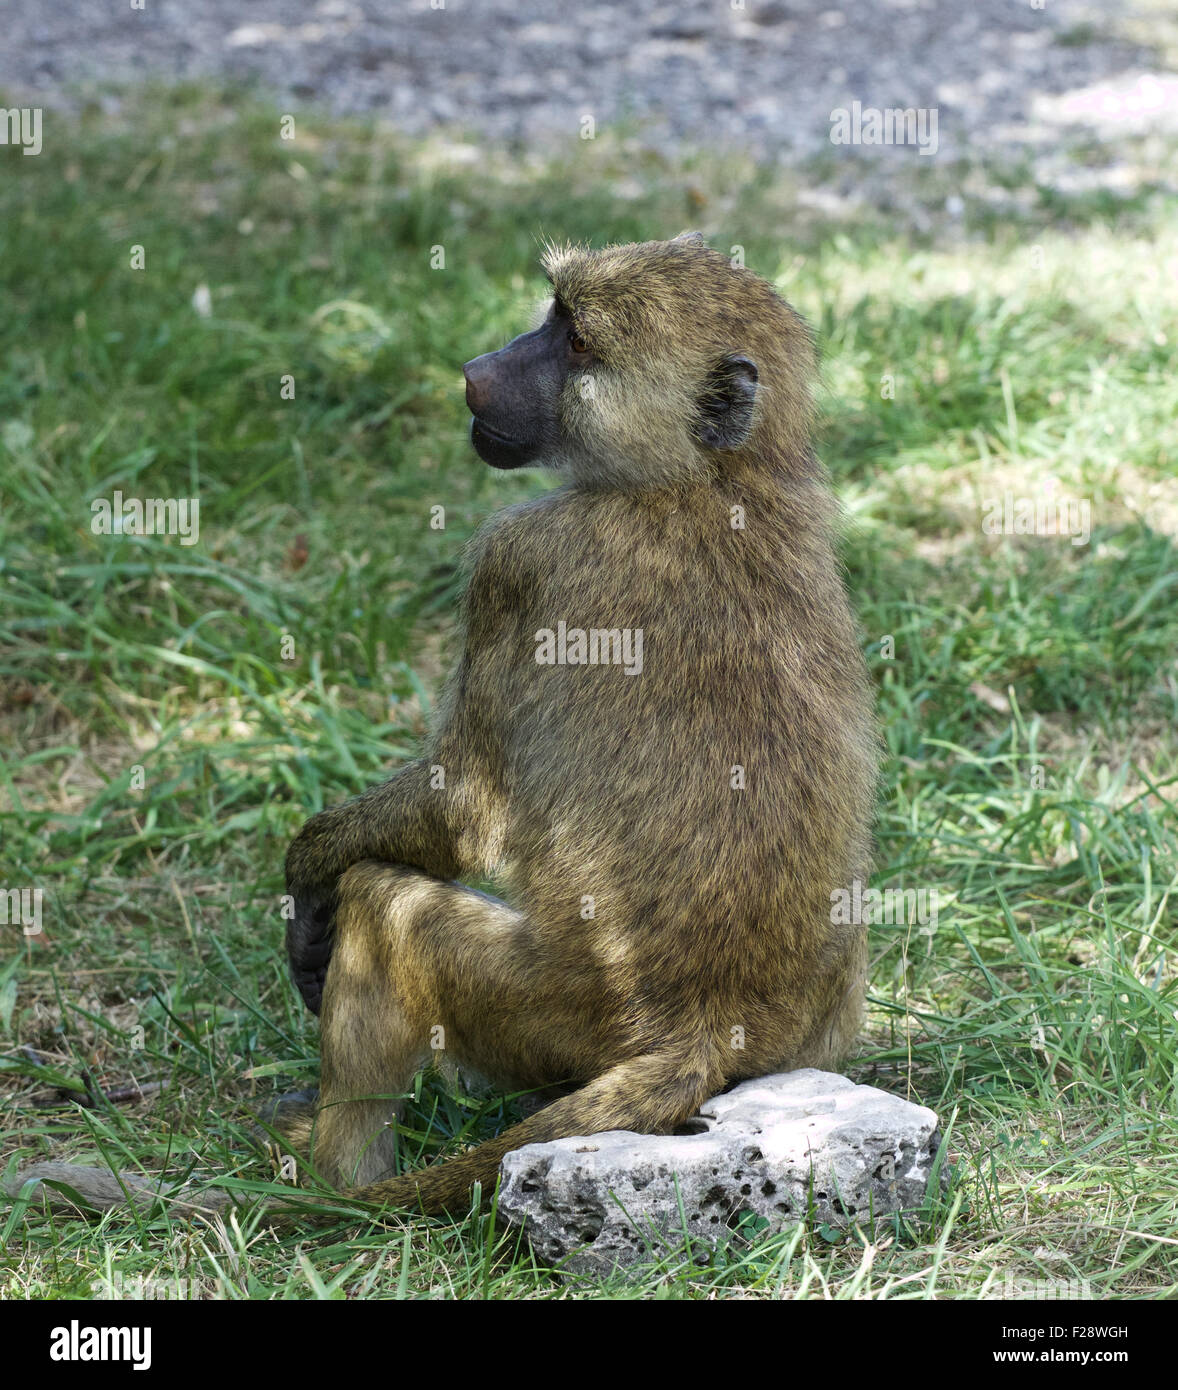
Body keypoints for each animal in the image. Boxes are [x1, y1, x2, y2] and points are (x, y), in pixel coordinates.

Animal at [8, 233, 877, 1222]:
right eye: (554, 316)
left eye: (578, 343)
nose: (476, 372)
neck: (710, 478)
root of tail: (711, 1028)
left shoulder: (516, 560)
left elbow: (461, 809)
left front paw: (308, 880)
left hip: (556, 1008)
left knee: (389, 910)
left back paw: (332, 1177)